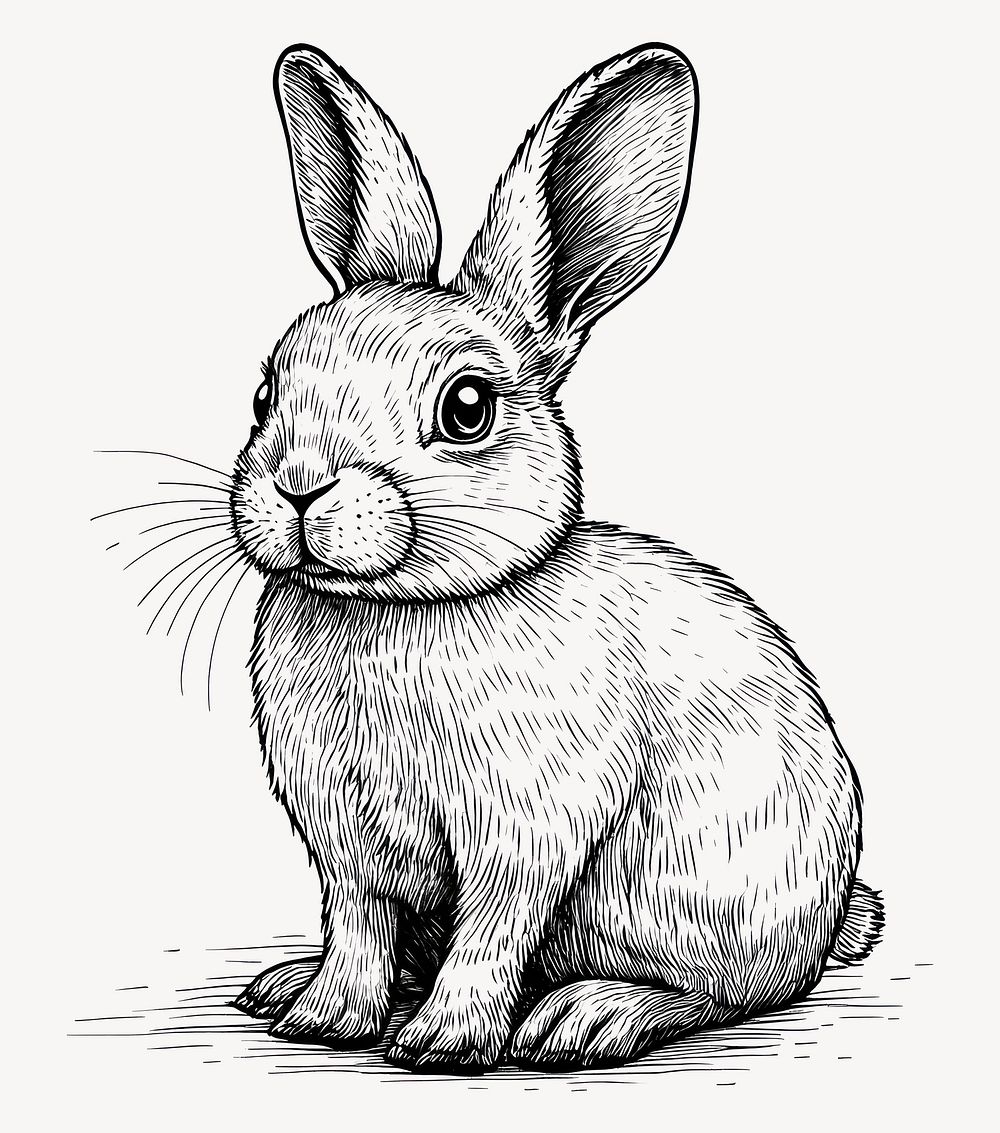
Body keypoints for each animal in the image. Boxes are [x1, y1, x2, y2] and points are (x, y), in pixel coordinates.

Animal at [228, 42, 883, 1072]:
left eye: (466, 408)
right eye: (265, 392)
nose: (299, 486)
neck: (399, 608)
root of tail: (833, 914)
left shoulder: (526, 831)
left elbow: (491, 932)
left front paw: (443, 1043)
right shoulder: (347, 848)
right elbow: (359, 930)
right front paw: (326, 1019)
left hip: (705, 898)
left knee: (727, 993)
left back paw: (589, 1016)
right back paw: (284, 985)